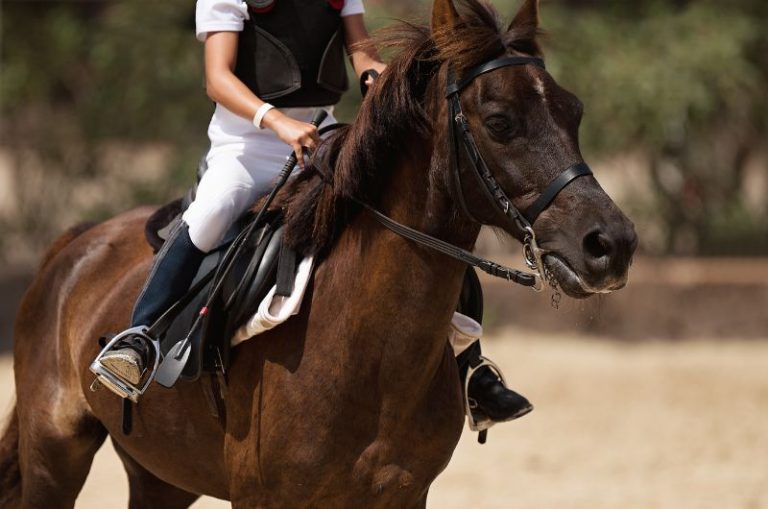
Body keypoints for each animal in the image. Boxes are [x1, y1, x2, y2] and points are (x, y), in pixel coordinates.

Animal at [0, 0, 637, 506]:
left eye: (574, 112)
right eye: (500, 122)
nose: (612, 244)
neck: (367, 350)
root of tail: (76, 243)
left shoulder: (402, 496)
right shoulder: (265, 498)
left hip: (162, 473)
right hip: (54, 455)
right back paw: (129, 354)